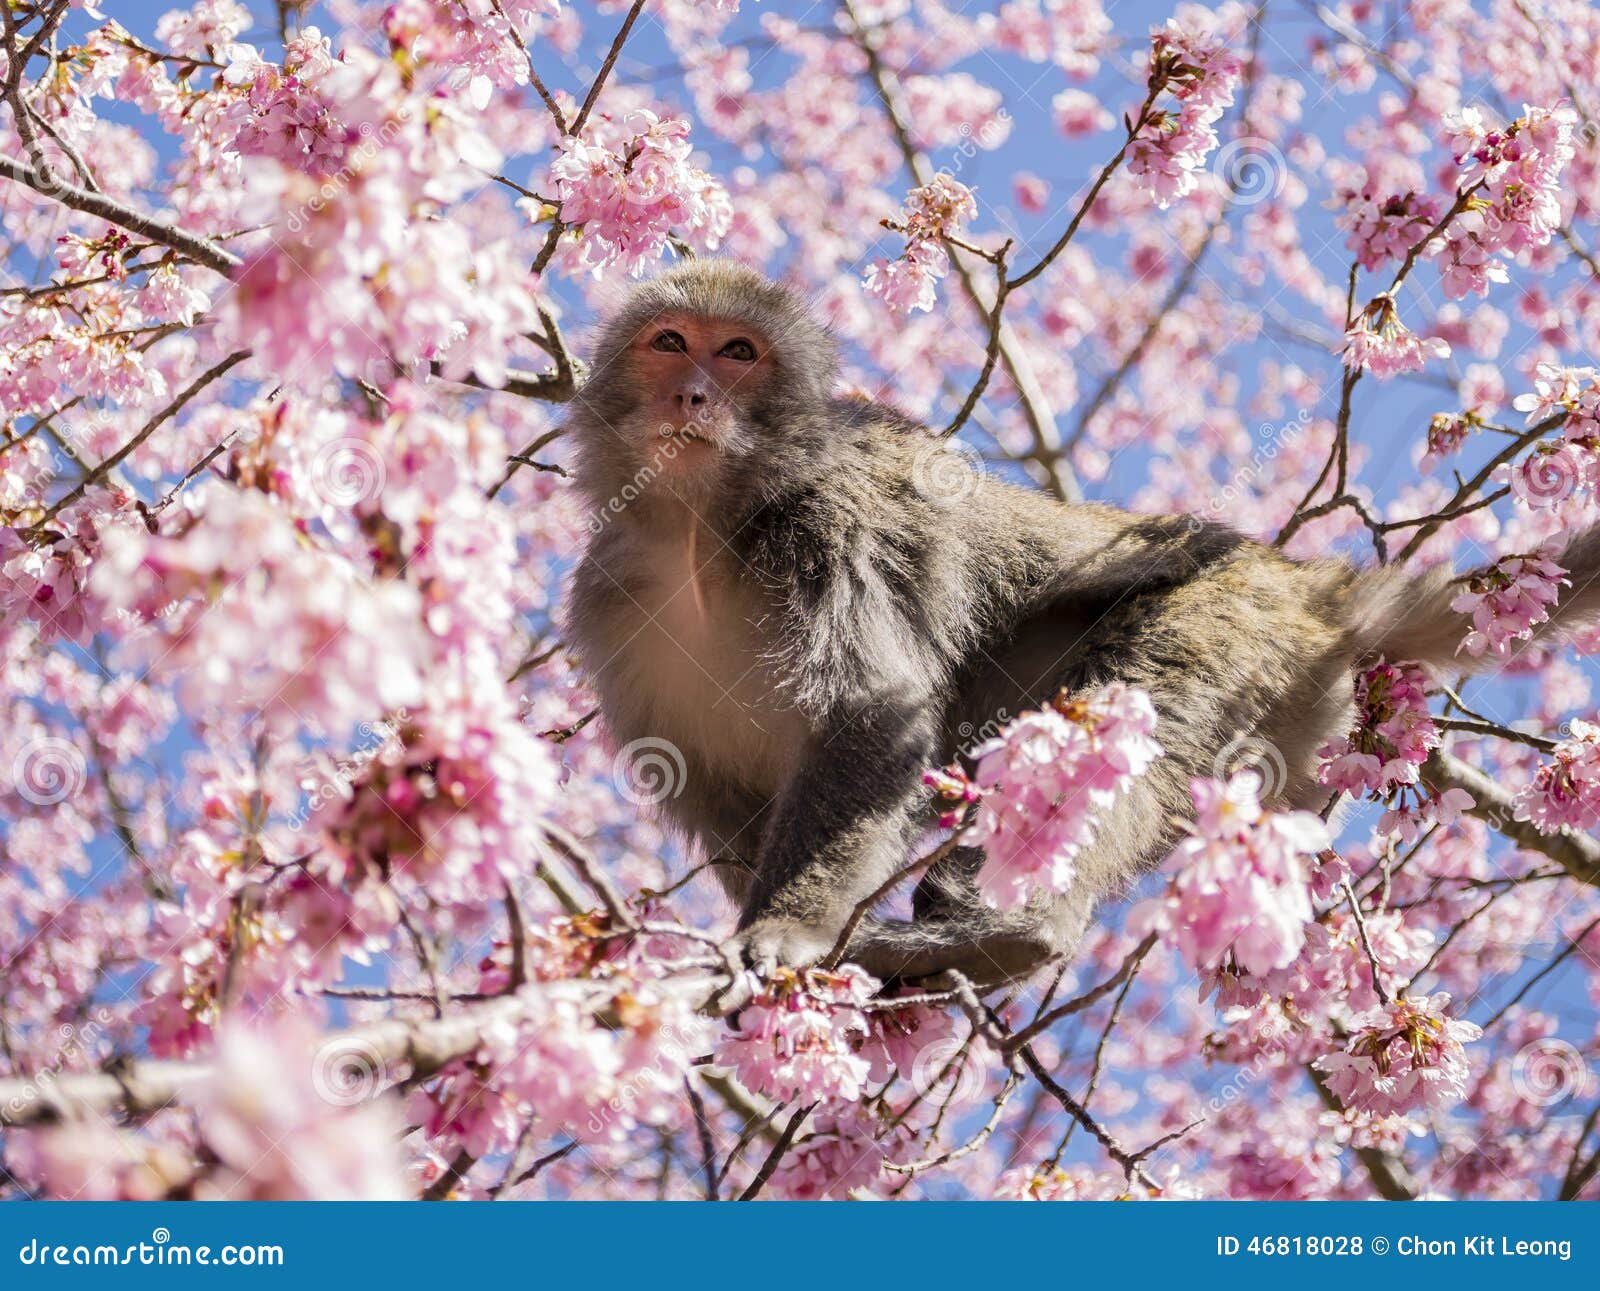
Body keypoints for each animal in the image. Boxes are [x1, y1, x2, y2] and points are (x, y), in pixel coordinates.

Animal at [563, 259, 1600, 1006]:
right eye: (670, 343)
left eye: (738, 352)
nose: (696, 394)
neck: (705, 530)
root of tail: (1304, 580)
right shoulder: (610, 600)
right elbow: (710, 781)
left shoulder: (829, 525)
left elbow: (873, 715)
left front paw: (793, 927)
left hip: (1231, 613)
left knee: (1122, 721)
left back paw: (1007, 933)